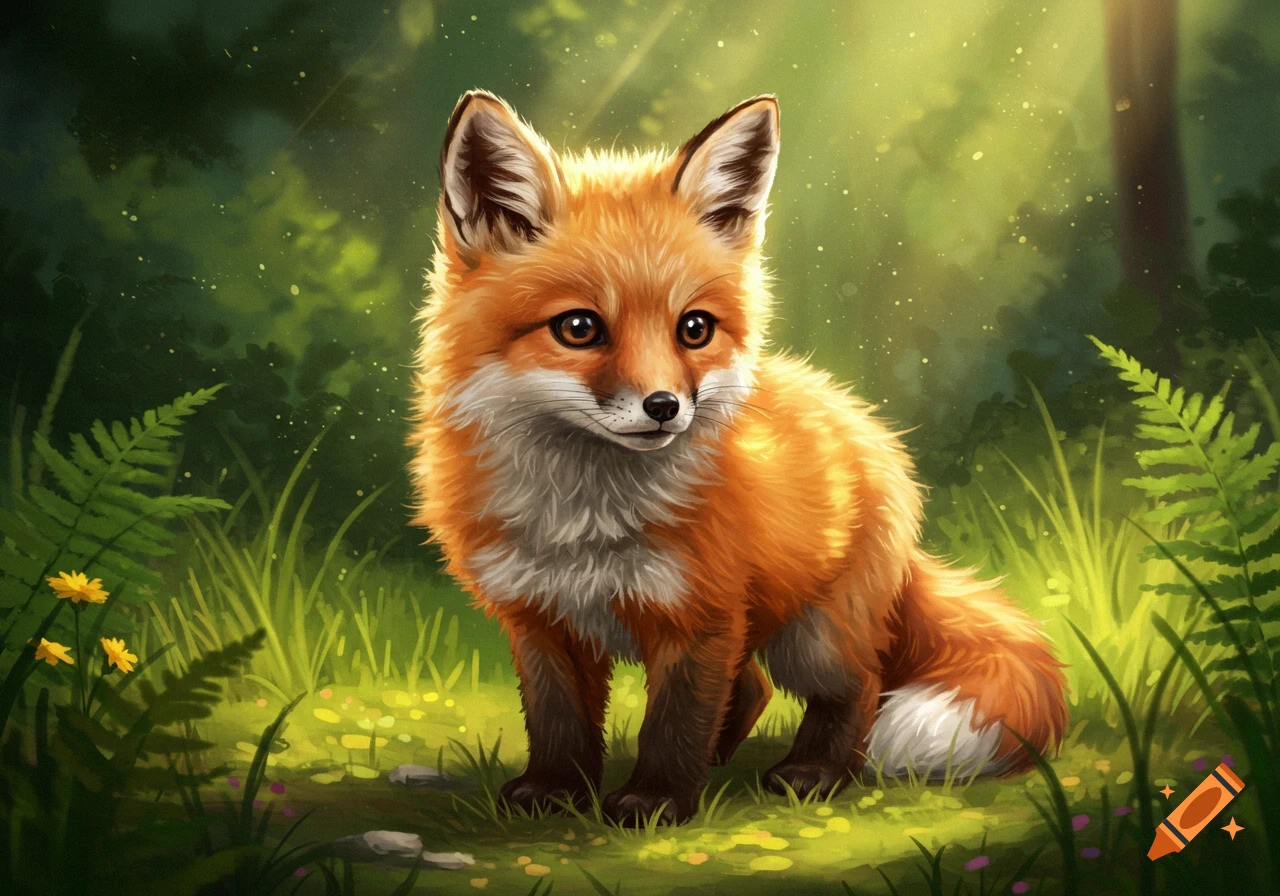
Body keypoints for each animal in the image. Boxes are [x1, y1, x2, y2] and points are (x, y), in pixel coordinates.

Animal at [408, 90, 1068, 826]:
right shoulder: (540, 619)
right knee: (751, 688)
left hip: (816, 639)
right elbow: (559, 721)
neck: (585, 520)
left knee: (856, 686)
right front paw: (556, 792)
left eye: (694, 328)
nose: (664, 406)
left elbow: (673, 723)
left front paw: (656, 801)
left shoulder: (702, 616)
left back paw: (815, 771)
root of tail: (868, 427)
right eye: (578, 327)